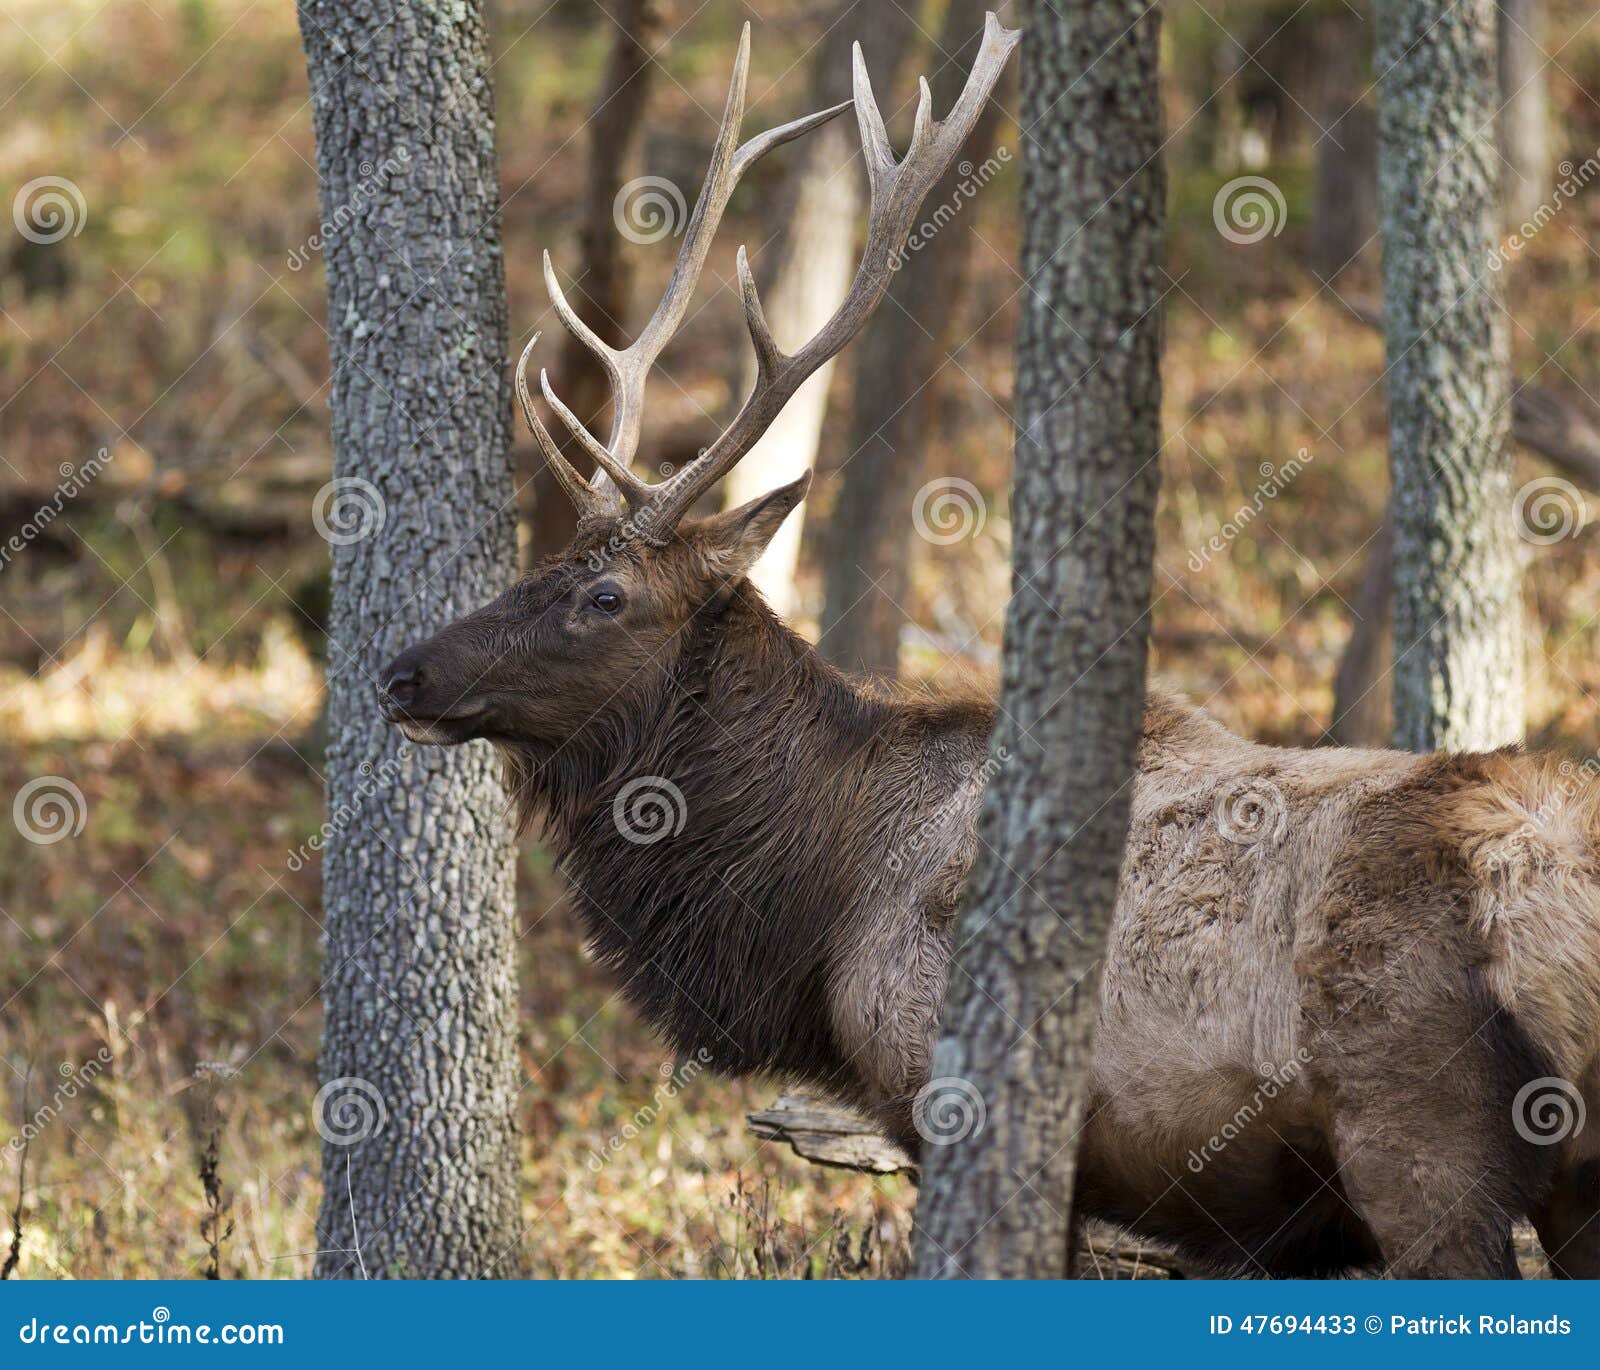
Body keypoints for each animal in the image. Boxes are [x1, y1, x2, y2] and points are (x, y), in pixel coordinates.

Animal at [376, 15, 1600, 1279]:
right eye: (535, 568)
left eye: (605, 594)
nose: (401, 670)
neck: (817, 909)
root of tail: (1543, 886)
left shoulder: (956, 1098)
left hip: (1418, 1137)